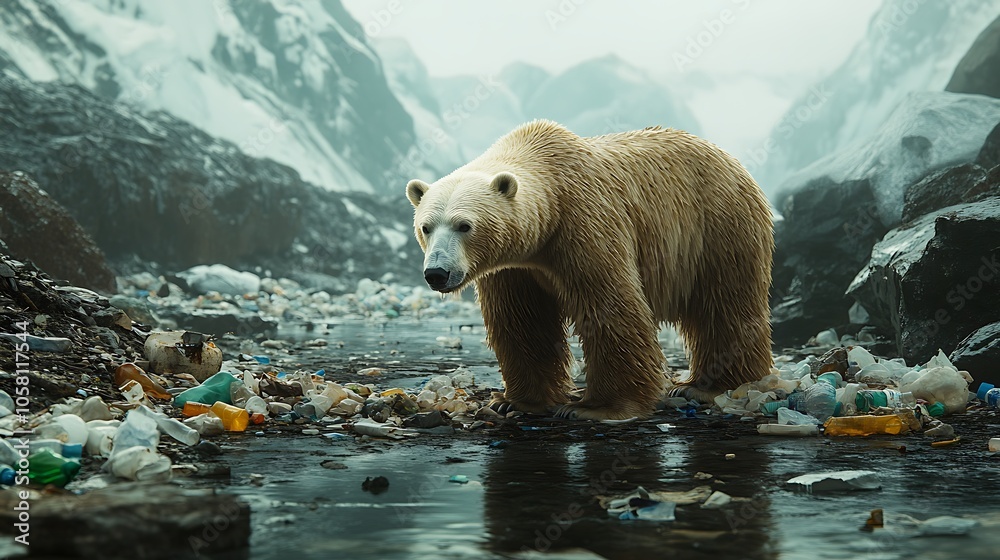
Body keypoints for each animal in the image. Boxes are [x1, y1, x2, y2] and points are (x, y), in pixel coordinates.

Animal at [406, 120, 773, 420]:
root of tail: (729, 158)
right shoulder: (514, 266)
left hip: (717, 227)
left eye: (464, 225)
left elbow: (610, 305)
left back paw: (706, 386)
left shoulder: (584, 223)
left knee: (725, 303)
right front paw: (513, 402)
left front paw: (596, 408)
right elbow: (523, 321)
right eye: (426, 227)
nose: (437, 273)